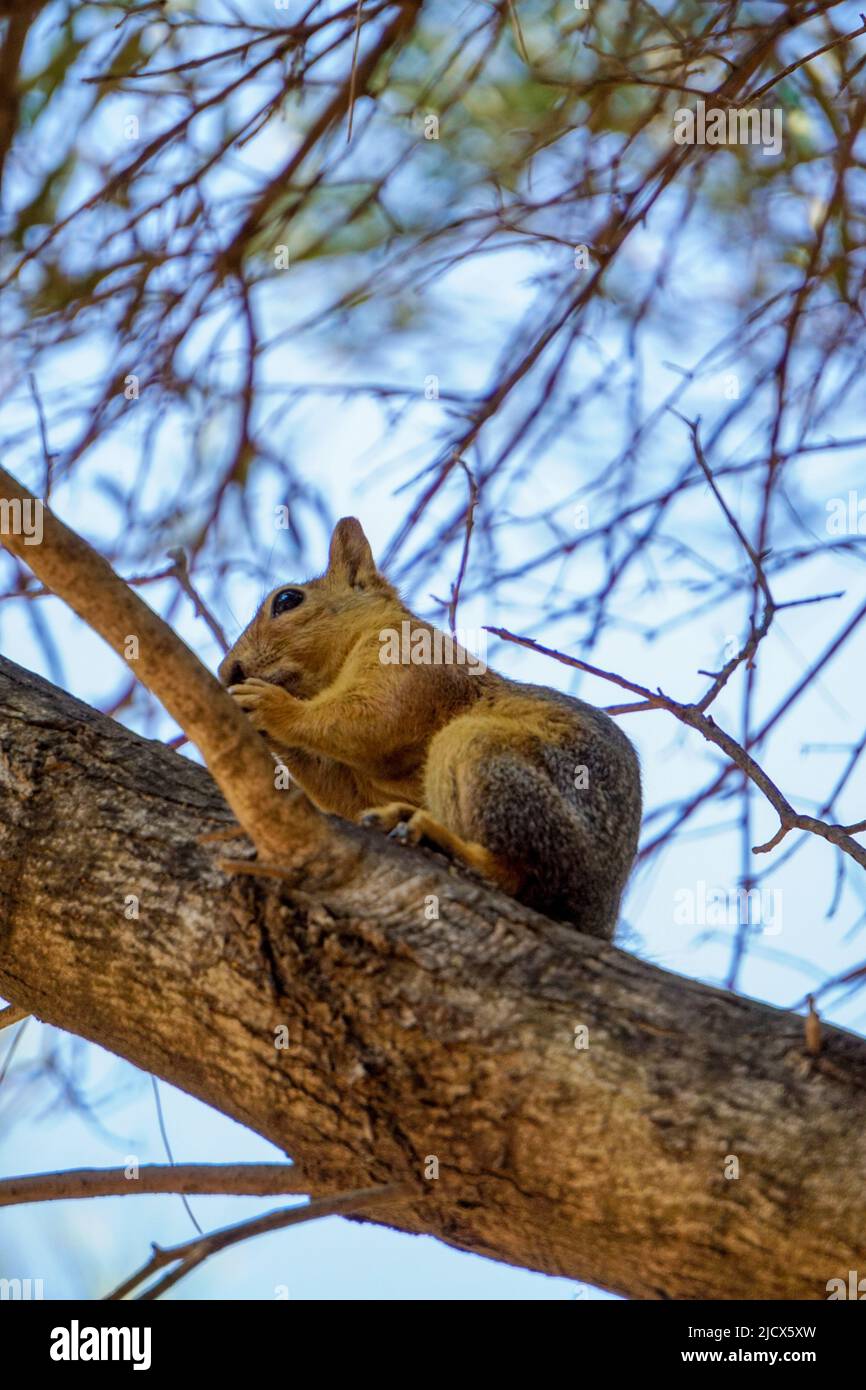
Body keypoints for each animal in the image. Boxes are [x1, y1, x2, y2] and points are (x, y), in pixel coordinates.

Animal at [218, 518, 641, 939]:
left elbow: (372, 718)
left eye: (288, 600)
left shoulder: (410, 660)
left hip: (485, 756)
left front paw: (271, 705)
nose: (227, 672)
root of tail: (598, 914)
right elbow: (343, 791)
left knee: (521, 877)